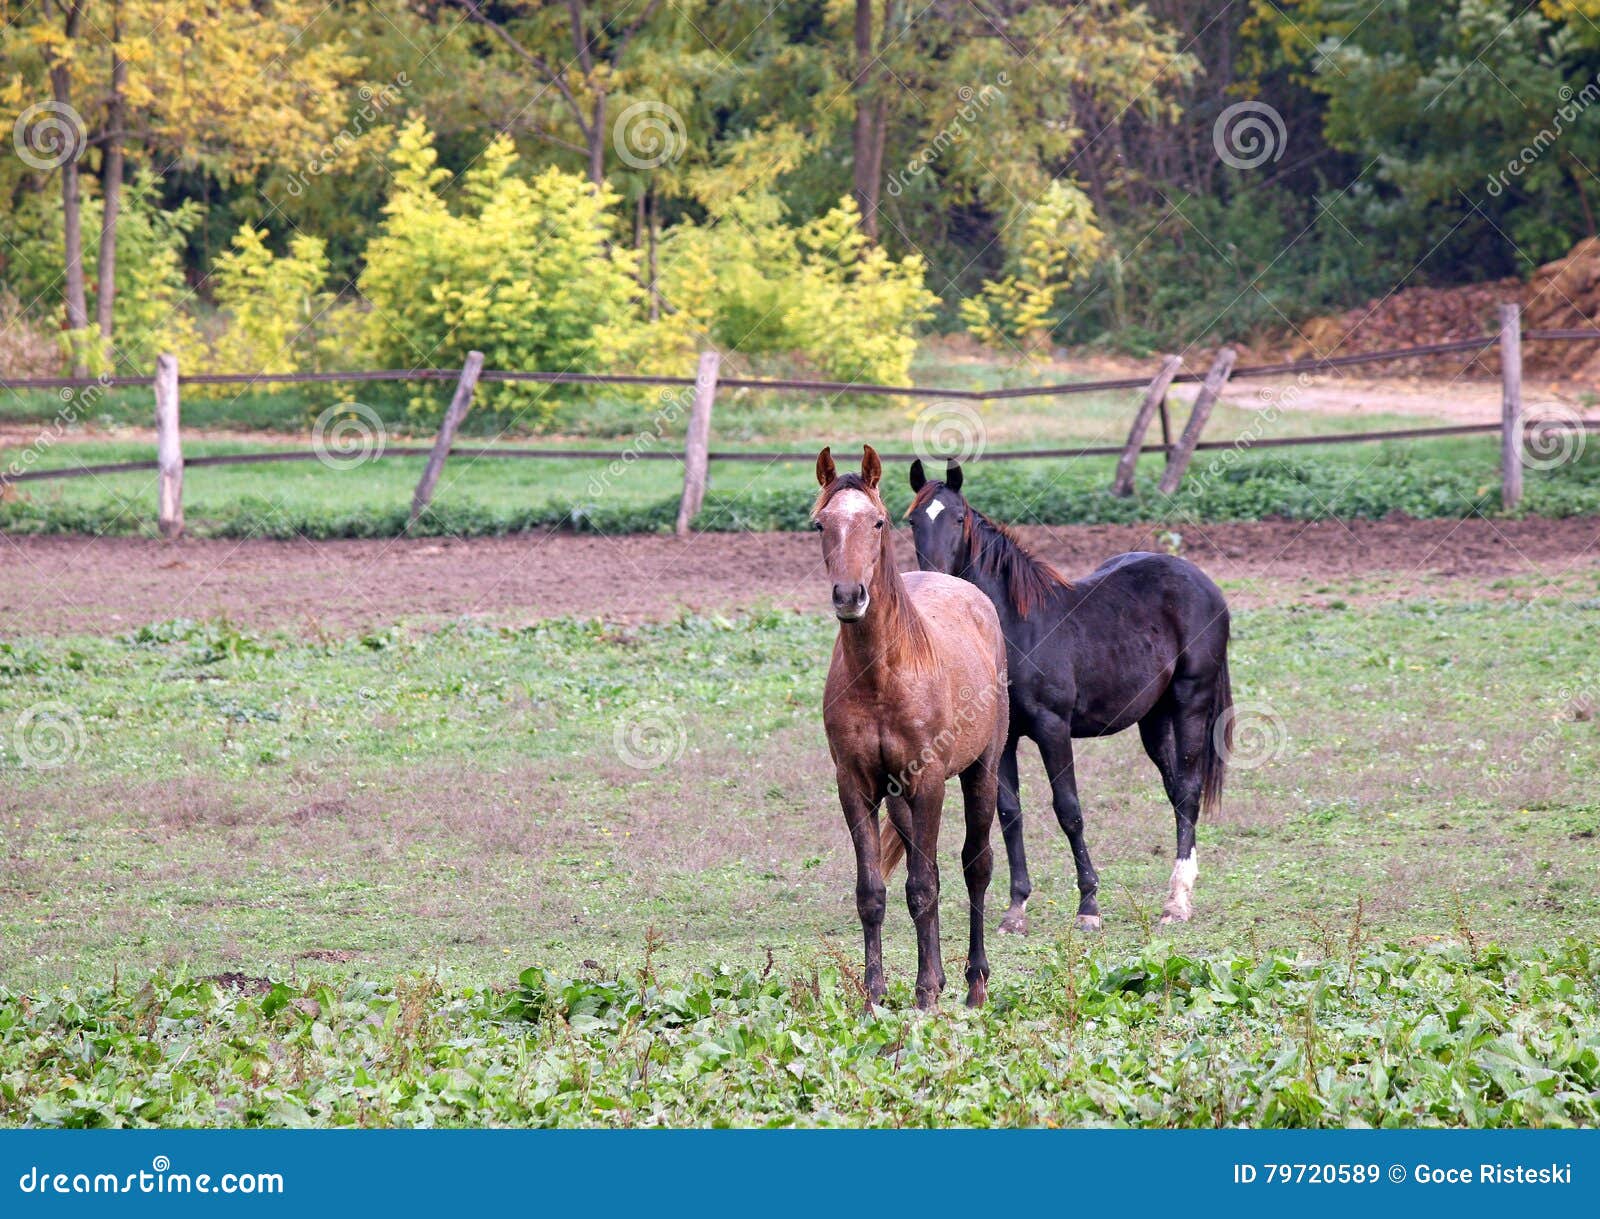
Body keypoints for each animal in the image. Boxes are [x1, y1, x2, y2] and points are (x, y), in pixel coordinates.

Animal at [814, 445, 1010, 1010]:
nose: (849, 595)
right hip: (901, 799)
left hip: (982, 772)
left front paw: (924, 996)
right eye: (820, 524)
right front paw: (875, 996)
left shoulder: (929, 782)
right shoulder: (856, 787)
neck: (884, 675)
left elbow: (922, 887)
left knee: (975, 866)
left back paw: (974, 984)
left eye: (877, 521)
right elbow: (874, 892)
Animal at [905, 459, 1233, 932]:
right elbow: (1009, 814)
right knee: (1174, 789)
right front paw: (1016, 909)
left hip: (1191, 702)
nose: (936, 579)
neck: (1017, 629)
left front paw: (1089, 906)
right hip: (1153, 719)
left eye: (959, 517)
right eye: (912, 520)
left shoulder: (1052, 728)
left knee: (1189, 789)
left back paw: (1177, 901)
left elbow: (1069, 810)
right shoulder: (1004, 739)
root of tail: (1204, 584)